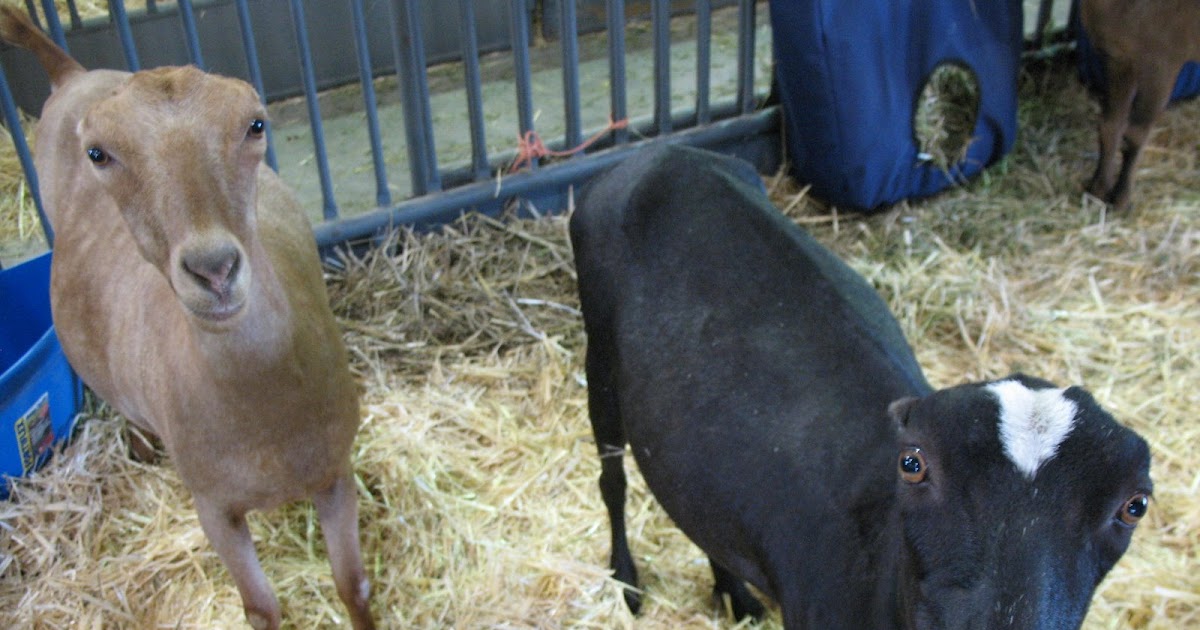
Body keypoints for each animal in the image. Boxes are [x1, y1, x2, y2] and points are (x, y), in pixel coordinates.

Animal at [0, 8, 373, 629]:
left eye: (255, 124)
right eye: (99, 153)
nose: (214, 269)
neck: (261, 409)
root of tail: (72, 72)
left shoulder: (334, 471)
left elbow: (352, 586)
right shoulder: (214, 508)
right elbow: (260, 608)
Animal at [570, 144, 1153, 628]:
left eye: (1135, 506)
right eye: (913, 463)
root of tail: (660, 152)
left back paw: (734, 592)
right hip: (600, 353)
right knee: (612, 480)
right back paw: (626, 580)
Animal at [1080, 0, 1200, 210]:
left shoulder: (1162, 64)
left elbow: (1135, 134)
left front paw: (1121, 200)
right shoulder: (1119, 58)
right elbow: (1110, 126)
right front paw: (1098, 190)